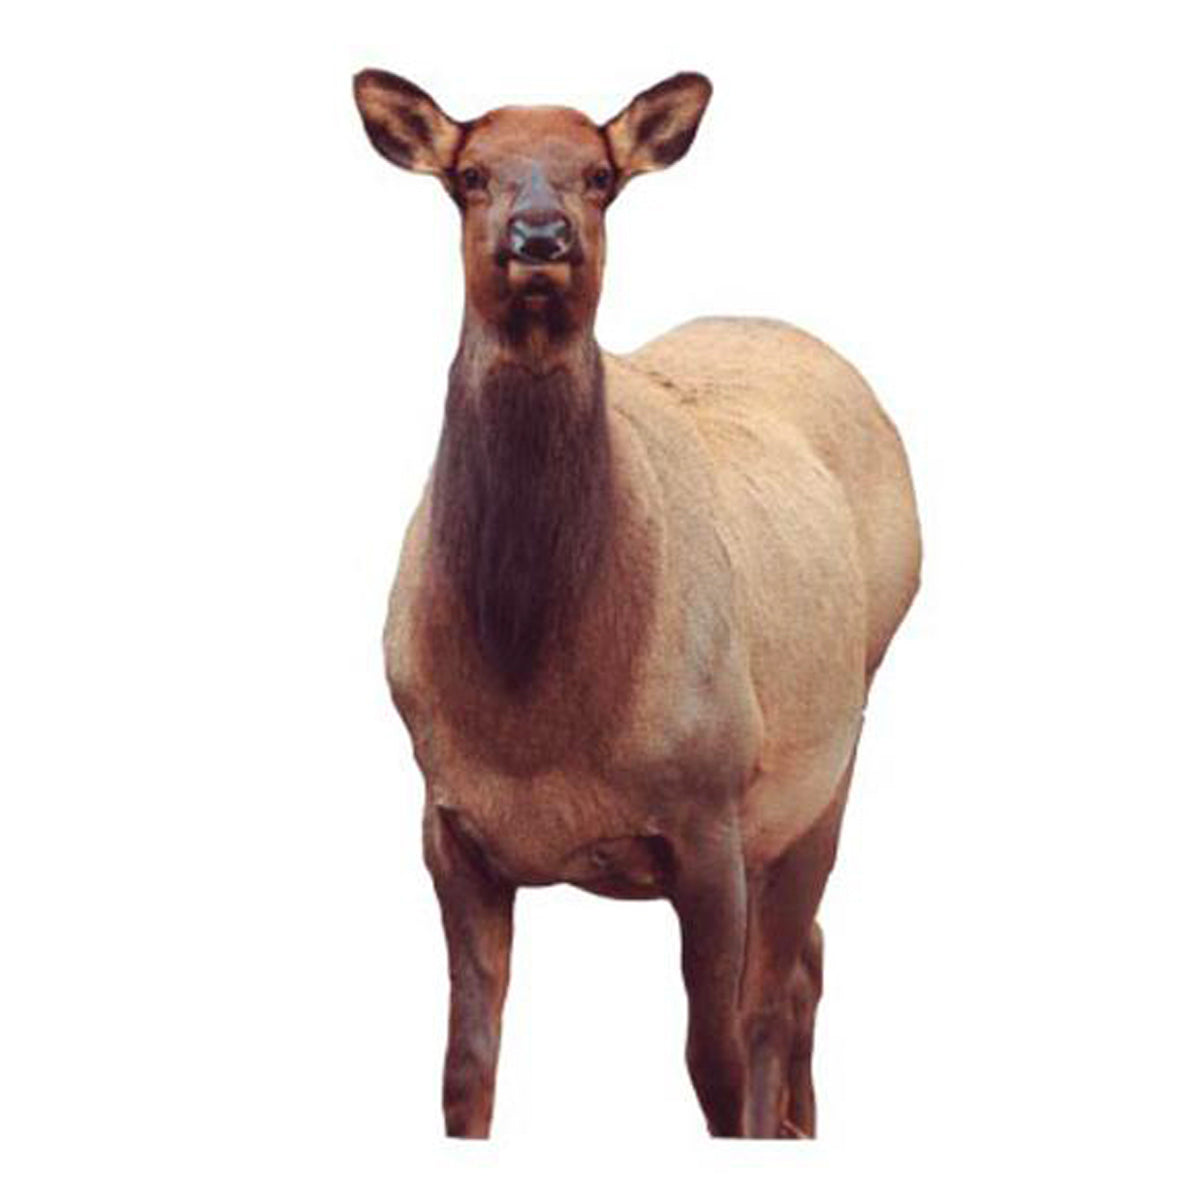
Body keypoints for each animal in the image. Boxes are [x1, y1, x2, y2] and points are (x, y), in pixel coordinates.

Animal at [352, 68, 921, 1139]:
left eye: (601, 175)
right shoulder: (448, 823)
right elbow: (463, 1073)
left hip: (826, 763)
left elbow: (716, 1062)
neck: (535, 715)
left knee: (778, 992)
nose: (540, 237)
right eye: (469, 175)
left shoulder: (708, 813)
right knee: (811, 960)